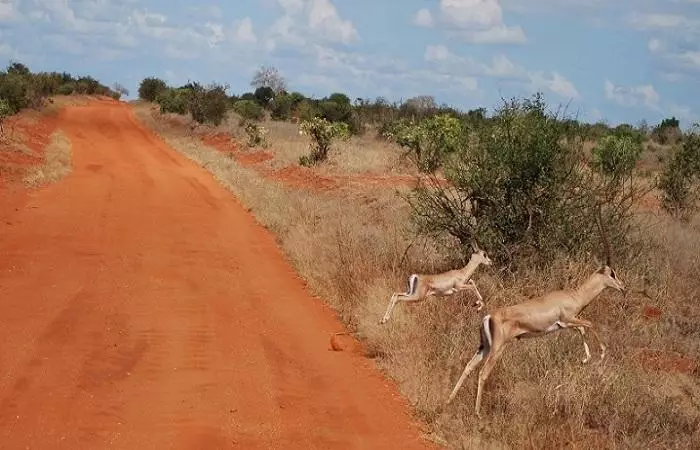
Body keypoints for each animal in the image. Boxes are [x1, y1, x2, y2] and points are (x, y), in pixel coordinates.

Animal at [446, 207, 628, 418]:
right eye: (612, 273)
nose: (623, 287)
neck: (575, 295)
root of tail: (488, 316)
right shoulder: (568, 319)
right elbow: (590, 324)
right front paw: (601, 354)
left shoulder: (566, 324)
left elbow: (582, 329)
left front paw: (586, 359)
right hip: (497, 349)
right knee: (483, 373)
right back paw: (477, 413)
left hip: (484, 347)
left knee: (468, 366)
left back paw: (449, 401)